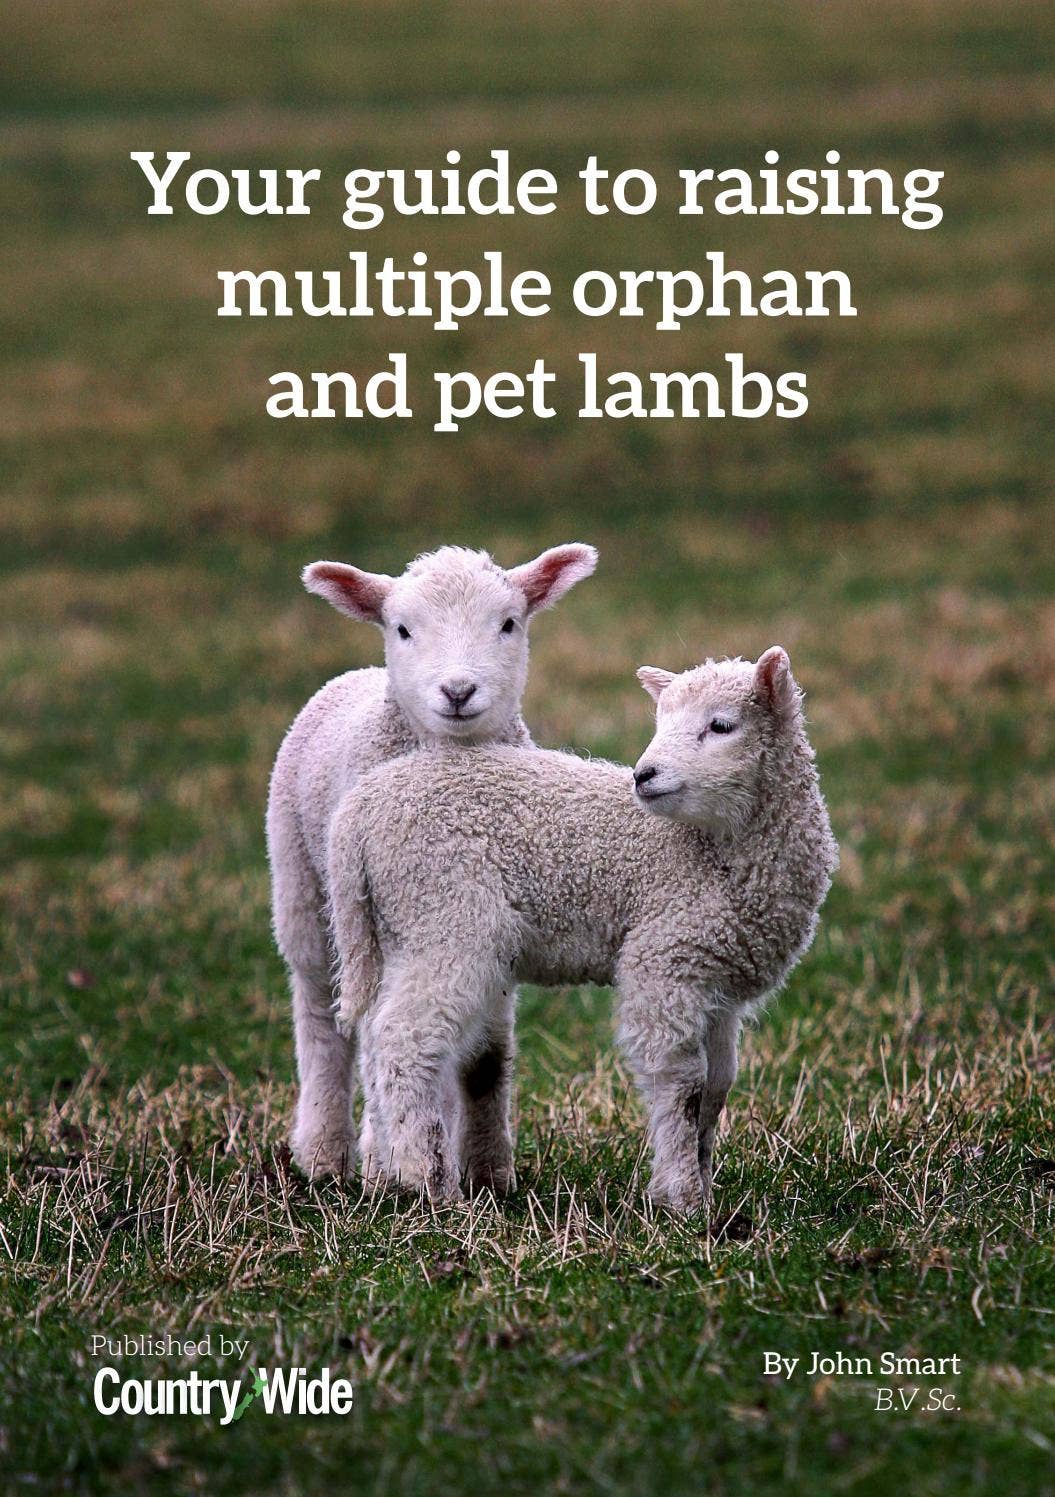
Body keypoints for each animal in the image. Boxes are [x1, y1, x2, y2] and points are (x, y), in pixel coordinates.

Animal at [266, 541, 598, 1180]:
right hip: (306, 888)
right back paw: (326, 1152)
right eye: (402, 628)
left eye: (508, 623)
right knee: (324, 1020)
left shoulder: (497, 934)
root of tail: (359, 675)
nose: (459, 691)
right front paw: (387, 1158)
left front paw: (491, 1169)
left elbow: (487, 1057)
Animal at [327, 647, 838, 1212]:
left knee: (376, 1038)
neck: (713, 852)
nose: (644, 775)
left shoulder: (716, 980)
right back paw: (429, 1184)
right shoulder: (666, 960)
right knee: (404, 1039)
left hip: (396, 927)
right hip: (446, 916)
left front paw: (703, 1188)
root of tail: (356, 815)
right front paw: (682, 1199)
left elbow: (718, 1087)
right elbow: (683, 1084)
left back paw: (386, 1174)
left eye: (721, 725)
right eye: (660, 721)